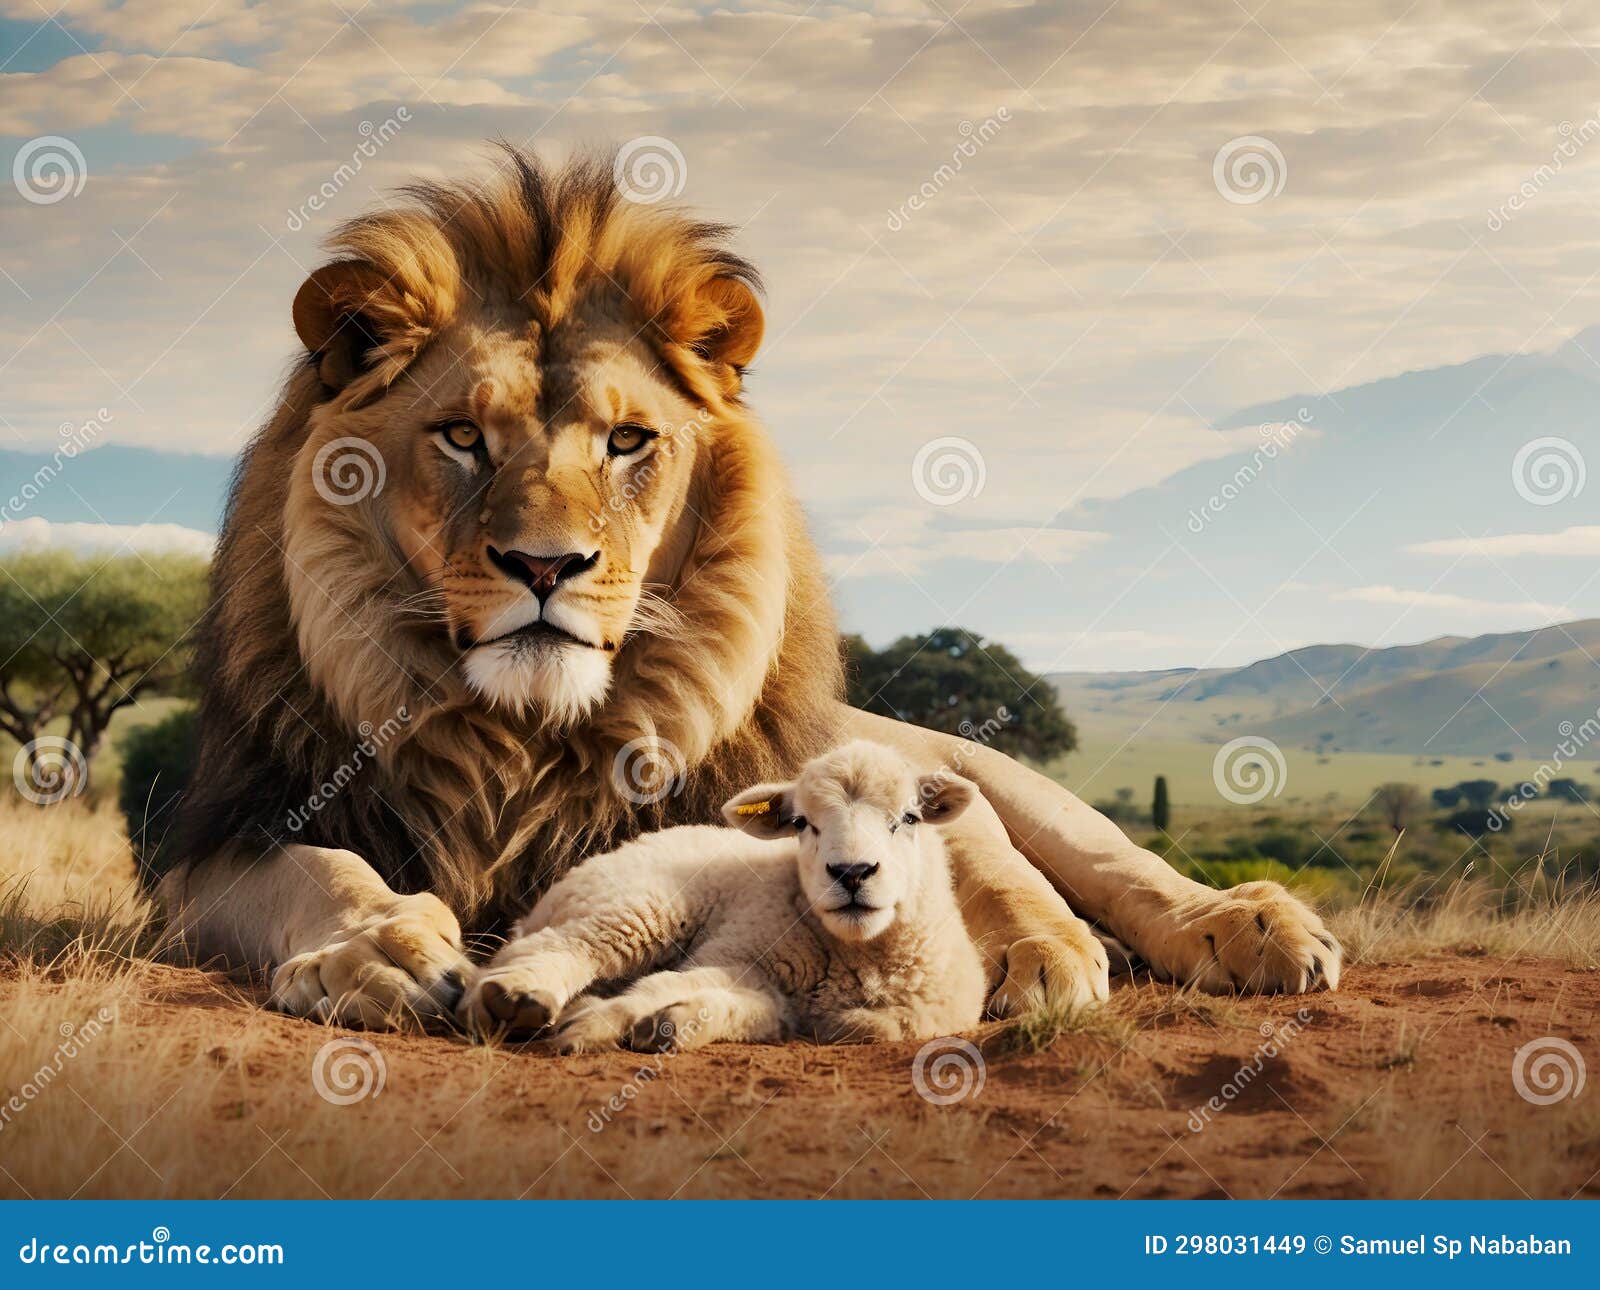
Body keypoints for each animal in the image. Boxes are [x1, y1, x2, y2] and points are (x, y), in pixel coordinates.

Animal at [458, 740, 989, 1052]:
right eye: (802, 823)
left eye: (910, 818)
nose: (852, 872)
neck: (855, 955)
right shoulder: (733, 949)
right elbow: (664, 985)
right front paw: (605, 1024)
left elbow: (784, 1014)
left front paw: (667, 1024)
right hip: (640, 906)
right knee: (557, 948)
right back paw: (516, 996)